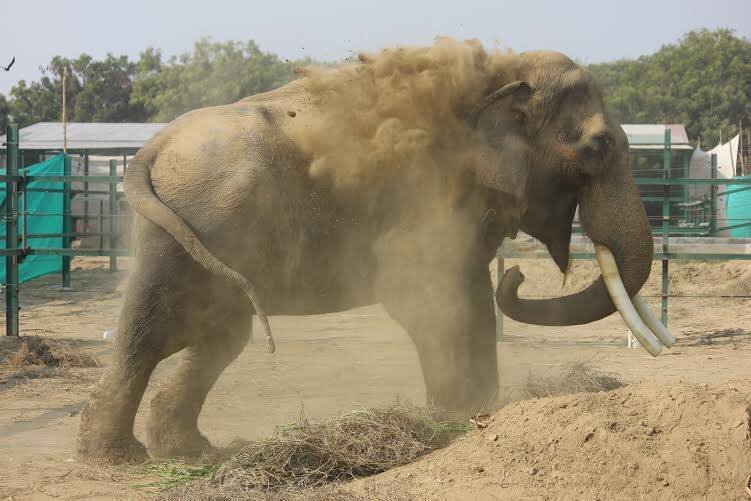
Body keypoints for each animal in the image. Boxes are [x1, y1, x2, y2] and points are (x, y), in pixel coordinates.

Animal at [76, 40, 672, 464]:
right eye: (597, 147)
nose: (519, 276)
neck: (493, 77)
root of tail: (149, 150)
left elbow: (465, 293)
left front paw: (477, 412)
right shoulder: (422, 199)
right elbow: (435, 298)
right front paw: (460, 417)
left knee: (219, 335)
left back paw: (185, 452)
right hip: (188, 229)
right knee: (150, 334)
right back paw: (118, 460)